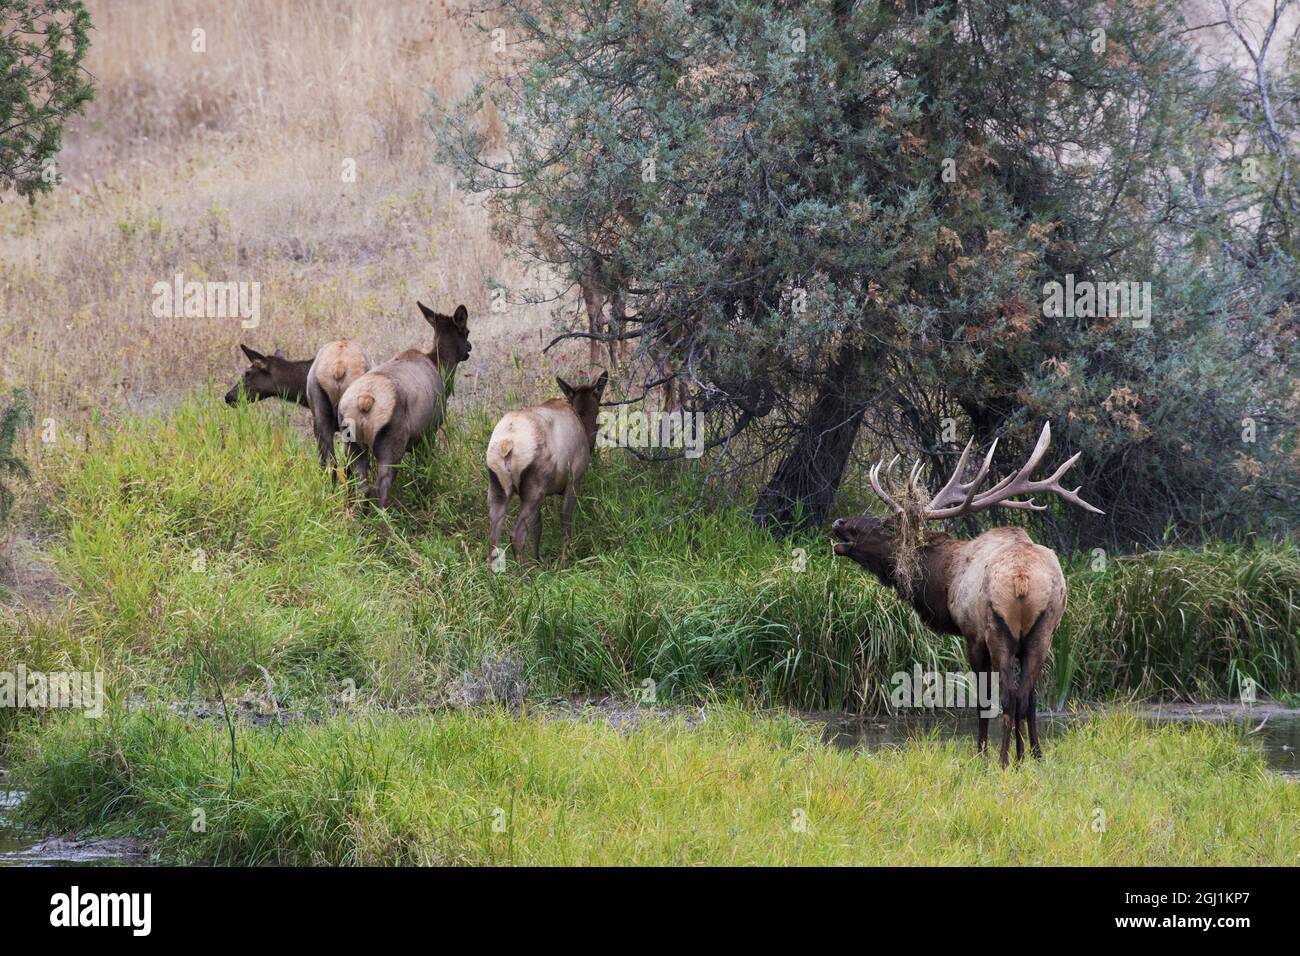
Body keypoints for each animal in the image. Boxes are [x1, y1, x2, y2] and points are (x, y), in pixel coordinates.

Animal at [337, 302, 471, 509]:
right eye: (467, 331)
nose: (469, 348)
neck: (441, 367)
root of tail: (364, 401)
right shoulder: (428, 431)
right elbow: (424, 471)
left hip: (352, 443)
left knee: (360, 485)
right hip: (391, 442)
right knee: (380, 488)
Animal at [485, 371, 609, 567]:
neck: (582, 421)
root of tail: (507, 443)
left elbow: (538, 528)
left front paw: (538, 562)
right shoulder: (574, 479)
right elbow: (565, 523)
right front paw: (564, 562)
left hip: (498, 486)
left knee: (493, 538)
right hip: (533, 488)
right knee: (516, 535)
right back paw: (523, 573)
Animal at [830, 422, 1103, 767]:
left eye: (888, 526)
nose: (840, 522)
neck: (947, 579)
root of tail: (1023, 581)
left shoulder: (972, 635)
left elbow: (983, 701)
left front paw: (982, 753)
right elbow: (1027, 699)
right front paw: (1028, 755)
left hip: (997, 630)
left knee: (1006, 696)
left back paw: (1001, 761)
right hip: (1043, 632)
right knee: (1026, 695)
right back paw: (1029, 756)